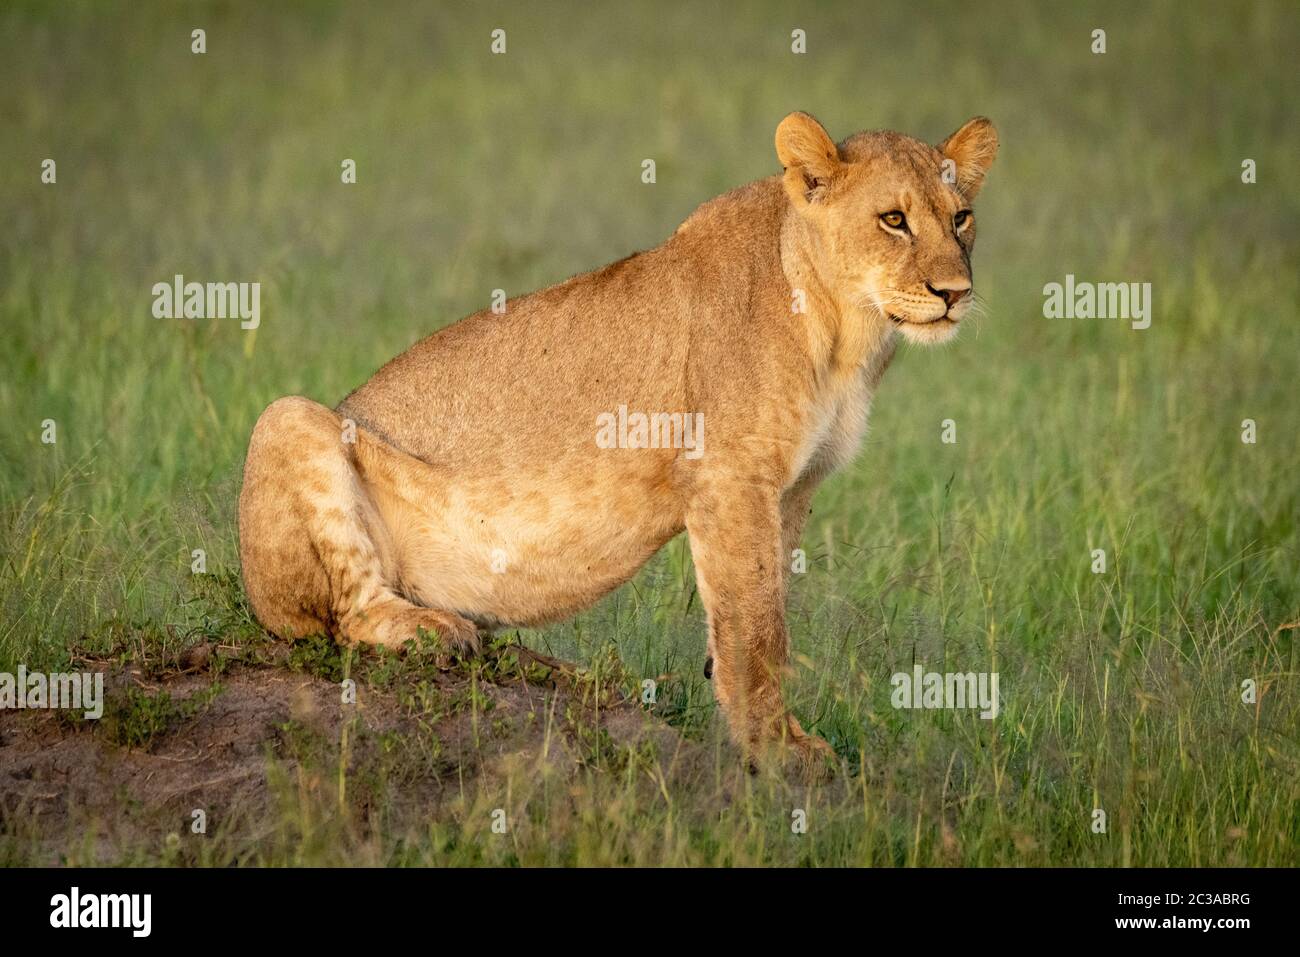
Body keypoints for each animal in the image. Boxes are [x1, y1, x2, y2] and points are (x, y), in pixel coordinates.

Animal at [237, 111, 998, 776]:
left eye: (961, 218)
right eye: (893, 219)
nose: (955, 292)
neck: (849, 335)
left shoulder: (790, 489)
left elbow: (760, 611)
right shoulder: (731, 477)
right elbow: (758, 627)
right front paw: (776, 751)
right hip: (285, 417)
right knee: (342, 617)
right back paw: (433, 630)